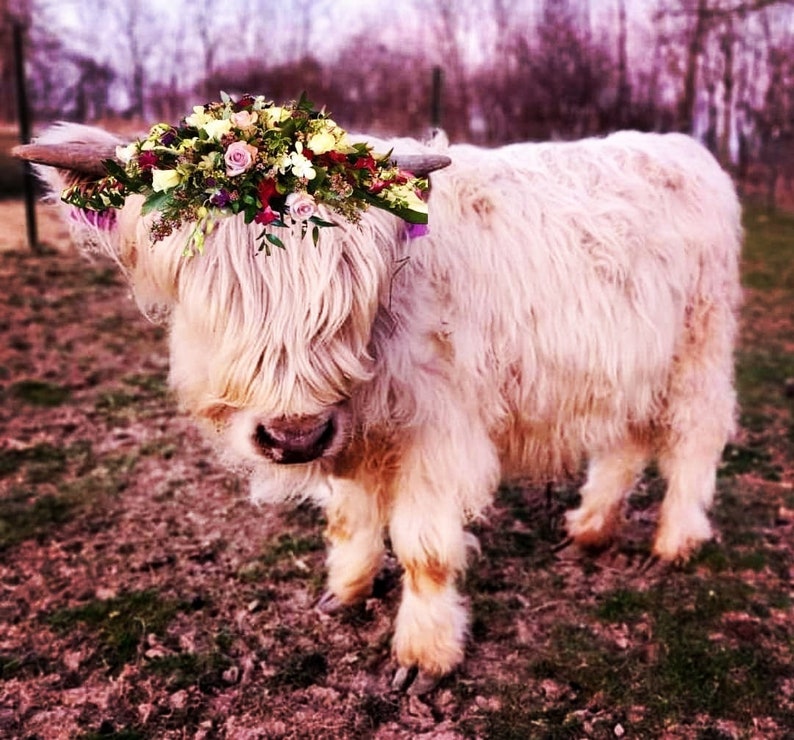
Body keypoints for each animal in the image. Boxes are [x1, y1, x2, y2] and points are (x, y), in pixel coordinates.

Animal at [15, 111, 742, 694]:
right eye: (202, 276)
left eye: (349, 287)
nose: (293, 437)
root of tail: (683, 147)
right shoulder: (349, 434)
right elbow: (348, 518)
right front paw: (345, 590)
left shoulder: (436, 434)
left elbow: (424, 548)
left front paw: (424, 654)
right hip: (630, 365)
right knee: (626, 441)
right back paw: (590, 526)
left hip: (699, 349)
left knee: (695, 436)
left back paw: (675, 539)